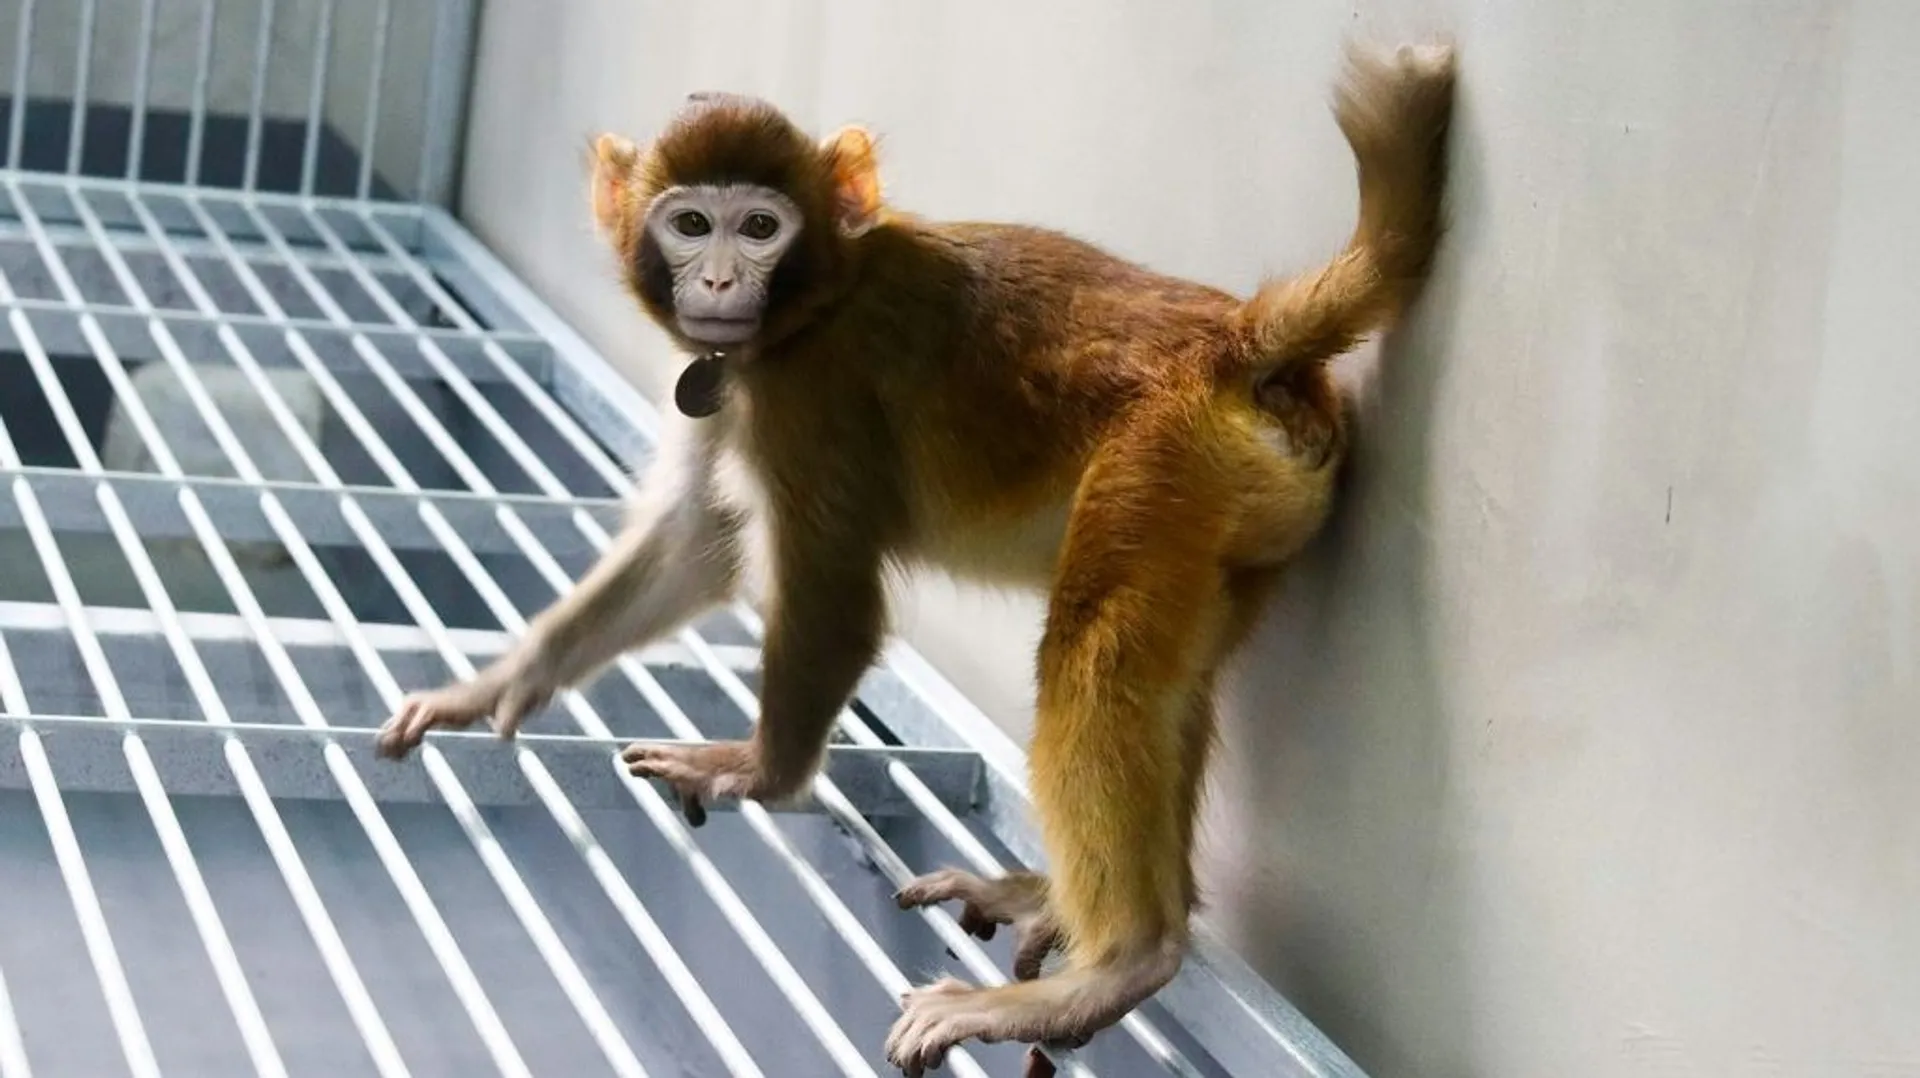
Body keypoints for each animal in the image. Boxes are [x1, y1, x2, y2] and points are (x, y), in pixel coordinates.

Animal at [375, 40, 1456, 1074]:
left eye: (757, 227)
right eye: (689, 223)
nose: (717, 282)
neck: (816, 300)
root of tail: (1235, 340)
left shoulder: (813, 393)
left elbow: (835, 597)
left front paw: (763, 772)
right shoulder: (737, 383)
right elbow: (694, 543)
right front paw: (498, 683)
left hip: (1162, 461)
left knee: (1095, 658)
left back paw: (1119, 961)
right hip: (1232, 514)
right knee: (1165, 682)